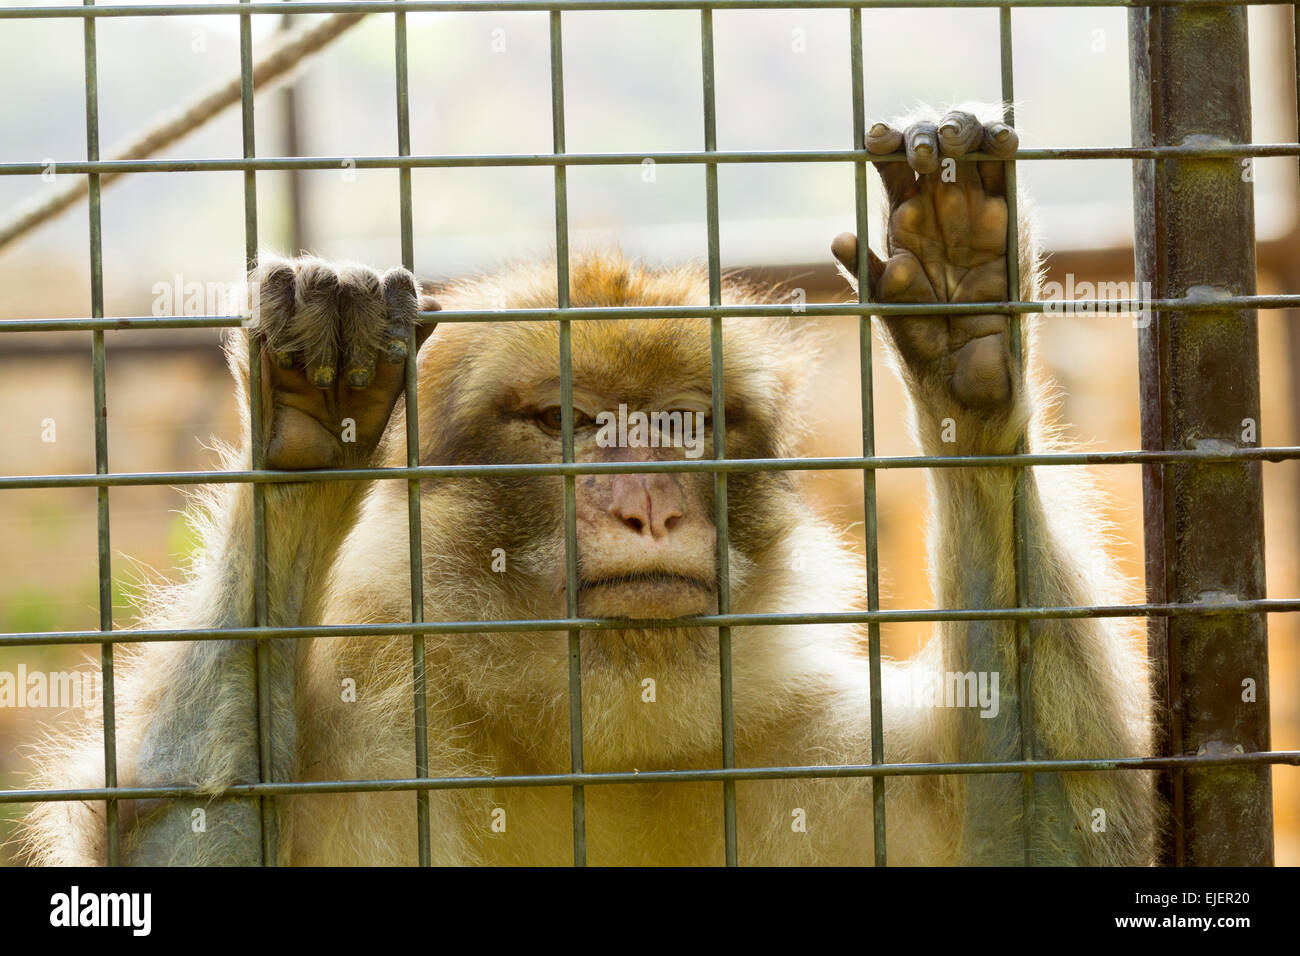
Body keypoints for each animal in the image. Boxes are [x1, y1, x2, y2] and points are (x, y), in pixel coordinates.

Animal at [20, 107, 1155, 866]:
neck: (595, 739)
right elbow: (180, 837)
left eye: (685, 426)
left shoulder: (816, 757)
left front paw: (967, 346)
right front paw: (305, 440)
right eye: (571, 425)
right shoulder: (371, 749)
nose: (650, 504)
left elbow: (1054, 828)